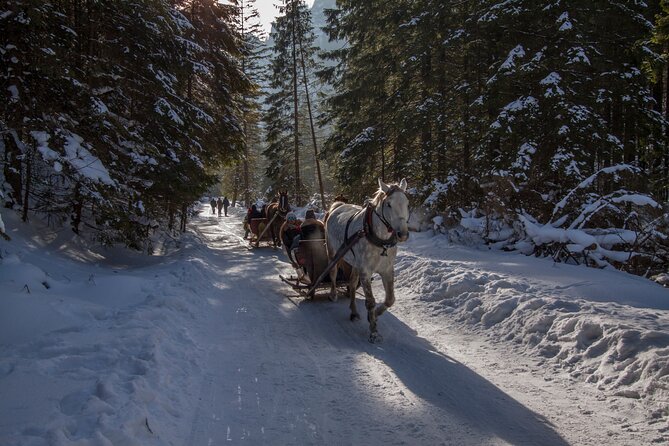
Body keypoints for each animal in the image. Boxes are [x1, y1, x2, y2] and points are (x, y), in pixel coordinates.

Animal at [325, 178, 410, 343]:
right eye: (389, 204)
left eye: (407, 203)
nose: (402, 234)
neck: (380, 241)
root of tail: (338, 206)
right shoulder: (366, 271)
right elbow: (370, 301)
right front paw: (374, 332)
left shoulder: (387, 270)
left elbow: (390, 299)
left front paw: (374, 316)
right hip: (333, 253)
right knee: (332, 272)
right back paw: (333, 294)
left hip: (355, 264)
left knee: (351, 284)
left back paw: (354, 312)